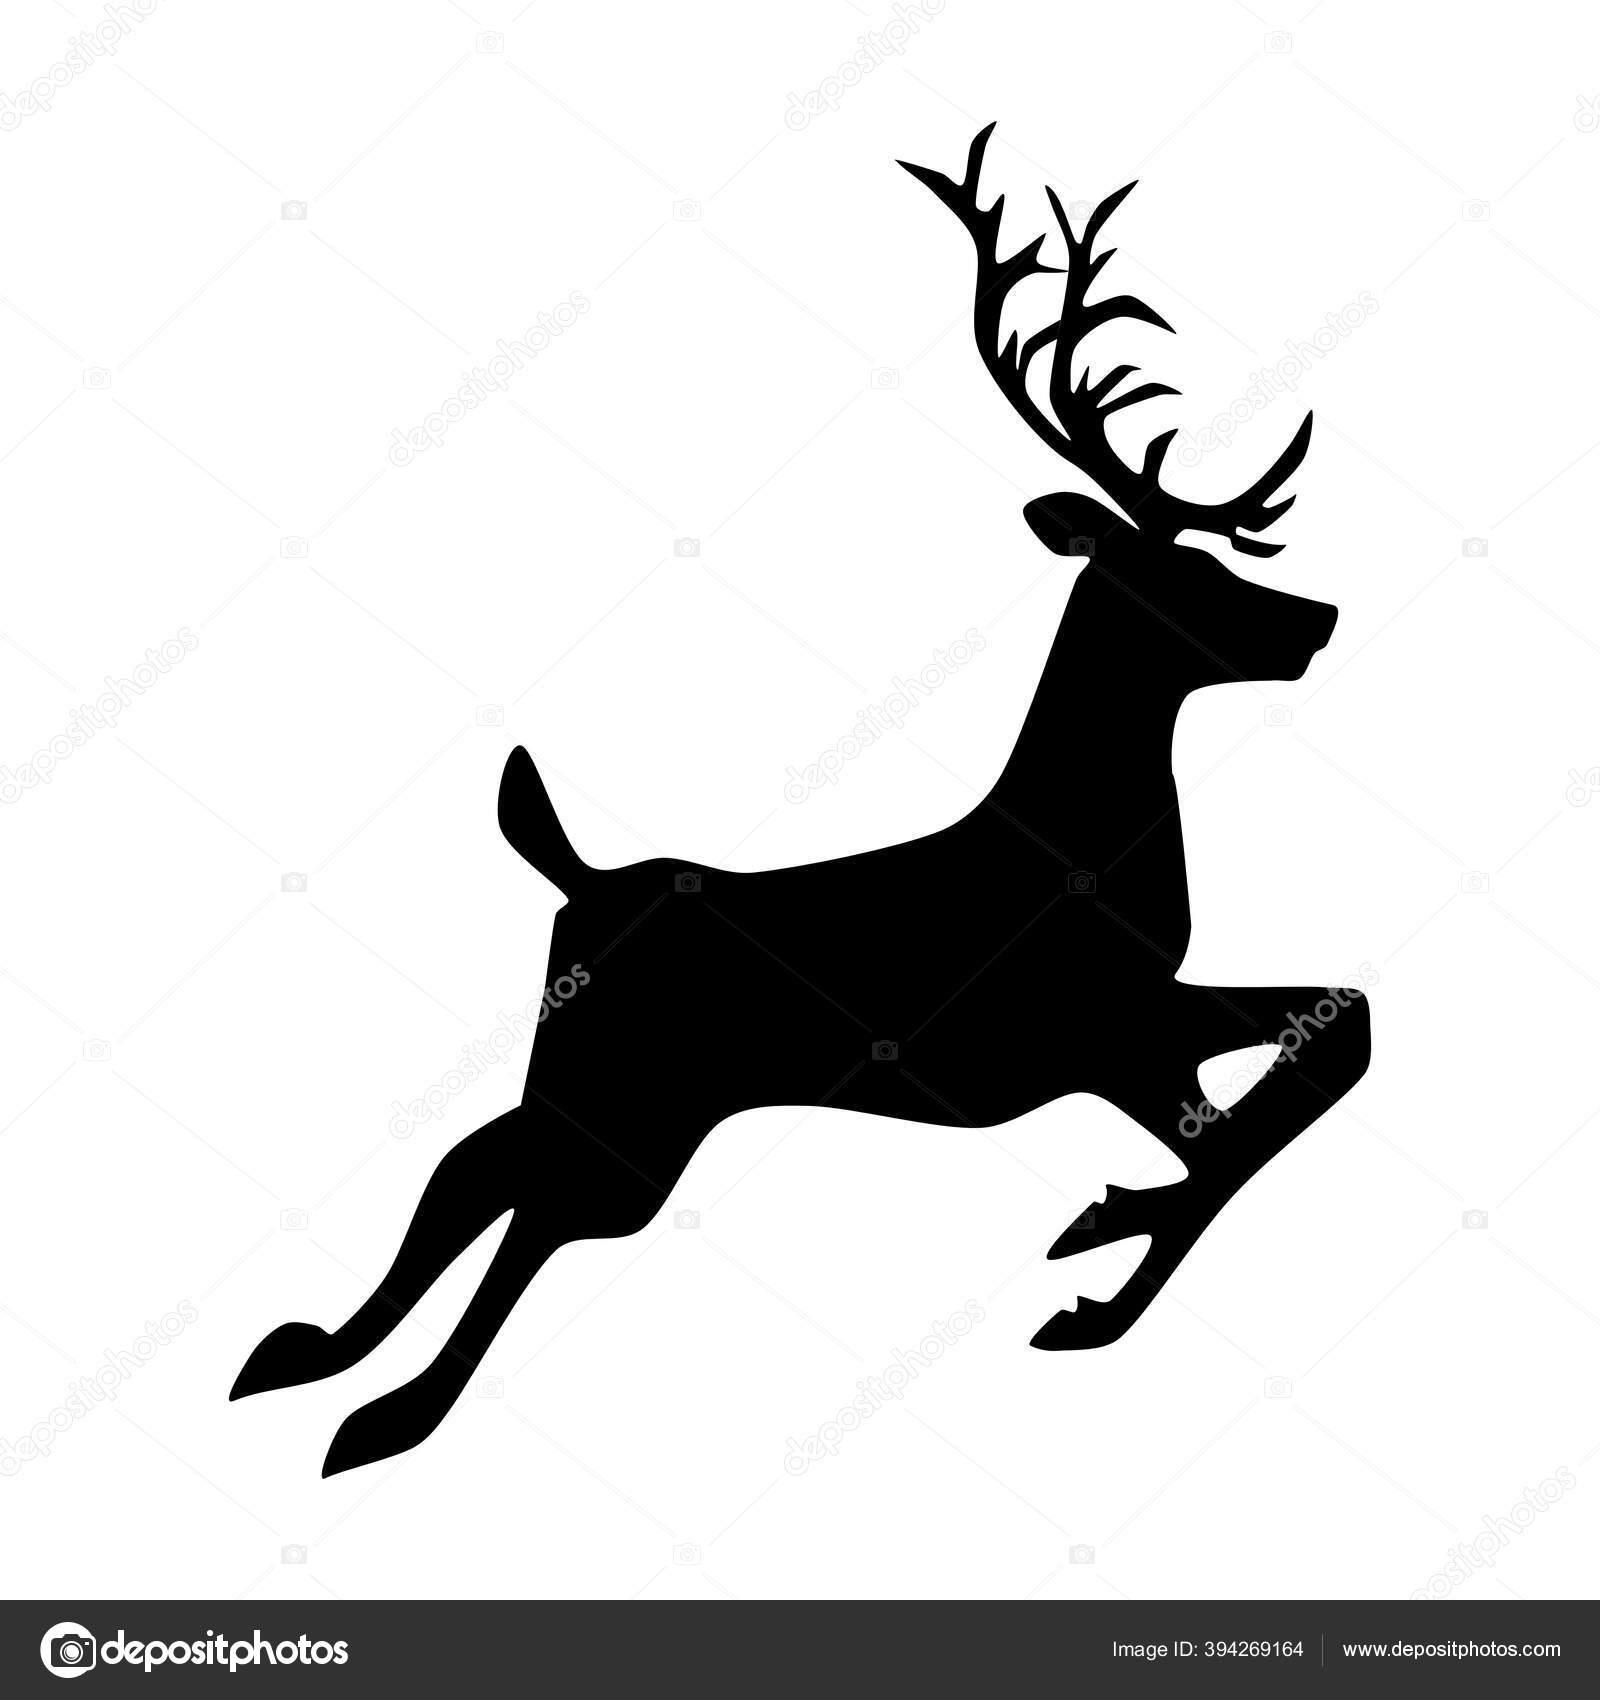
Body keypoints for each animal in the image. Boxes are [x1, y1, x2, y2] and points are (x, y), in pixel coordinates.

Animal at [233, 124, 1371, 1475]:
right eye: (1177, 572)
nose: (1317, 618)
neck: (1086, 843)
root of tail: (573, 880)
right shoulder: (1091, 1029)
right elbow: (1291, 1079)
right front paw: (1096, 1256)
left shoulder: (1131, 1033)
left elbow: (1311, 1051)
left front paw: (1098, 1268)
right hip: (640, 1102)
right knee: (533, 1202)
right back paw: (383, 1412)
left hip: (585, 1076)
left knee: (476, 1159)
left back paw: (304, 1351)